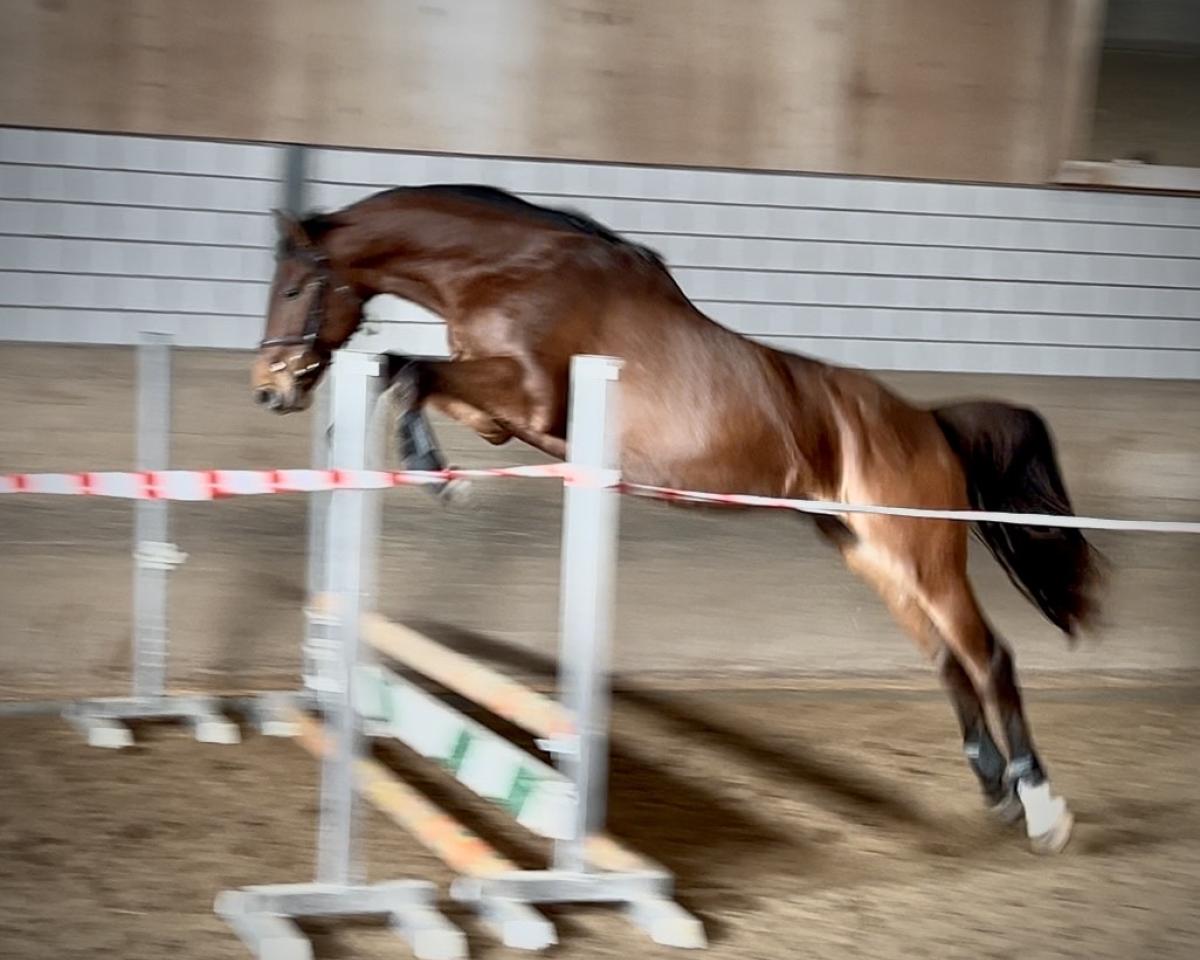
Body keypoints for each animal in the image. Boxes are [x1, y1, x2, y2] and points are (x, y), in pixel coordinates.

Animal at [252, 183, 1104, 854]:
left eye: (292, 288)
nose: (271, 390)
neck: (511, 269)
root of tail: (928, 422)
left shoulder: (526, 395)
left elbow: (411, 374)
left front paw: (432, 473)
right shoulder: (504, 418)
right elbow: (408, 372)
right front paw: (427, 461)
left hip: (919, 550)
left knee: (987, 658)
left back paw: (1044, 810)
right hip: (871, 553)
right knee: (947, 662)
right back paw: (995, 791)